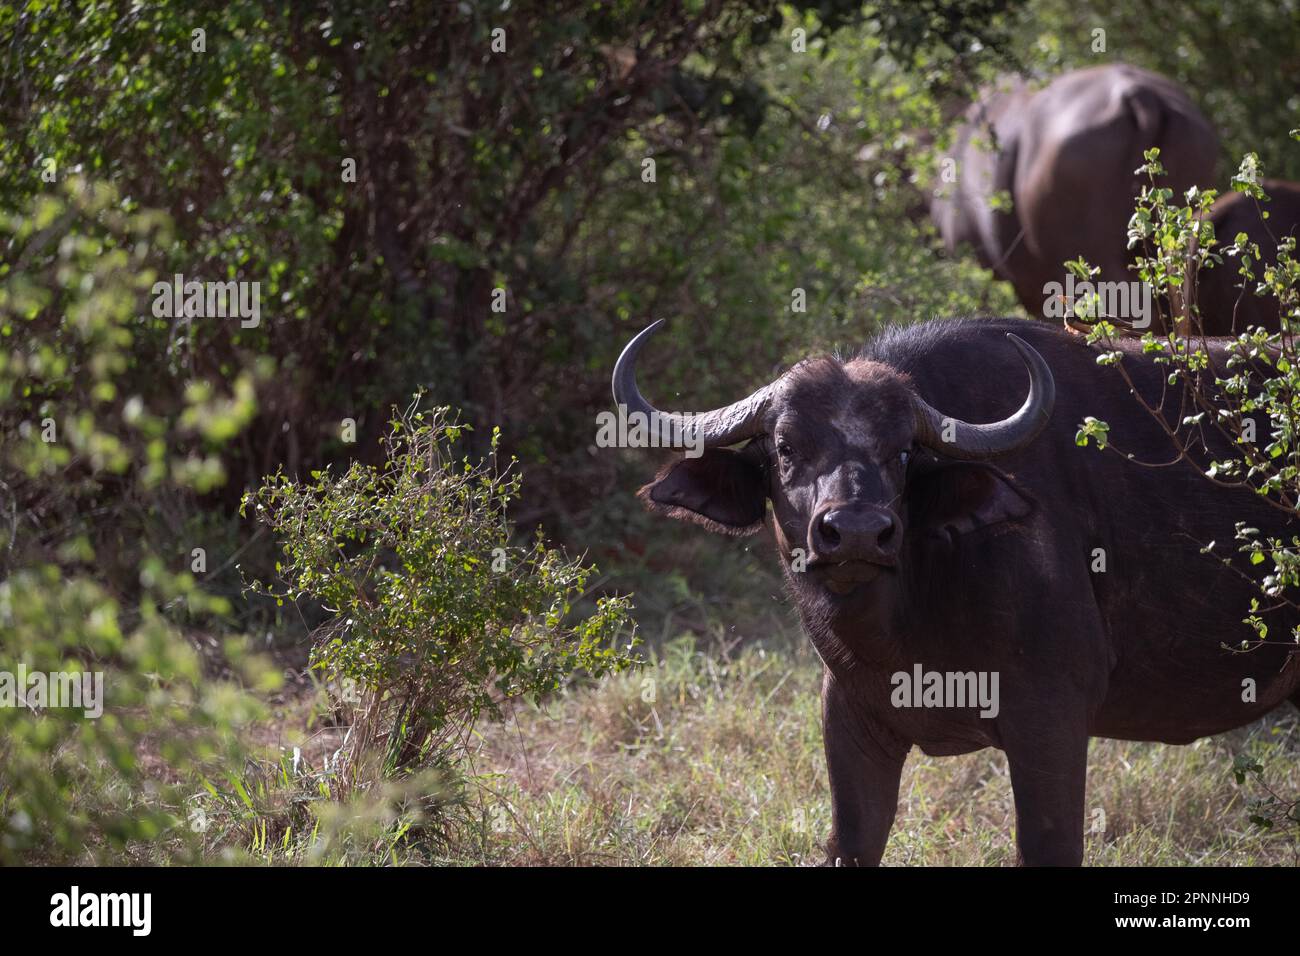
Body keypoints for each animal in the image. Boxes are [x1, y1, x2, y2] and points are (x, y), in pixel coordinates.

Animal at [614, 317, 1300, 865]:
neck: (902, 625)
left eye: (901, 452)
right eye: (786, 447)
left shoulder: (1052, 719)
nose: (856, 531)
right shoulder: (850, 720)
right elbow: (850, 845)